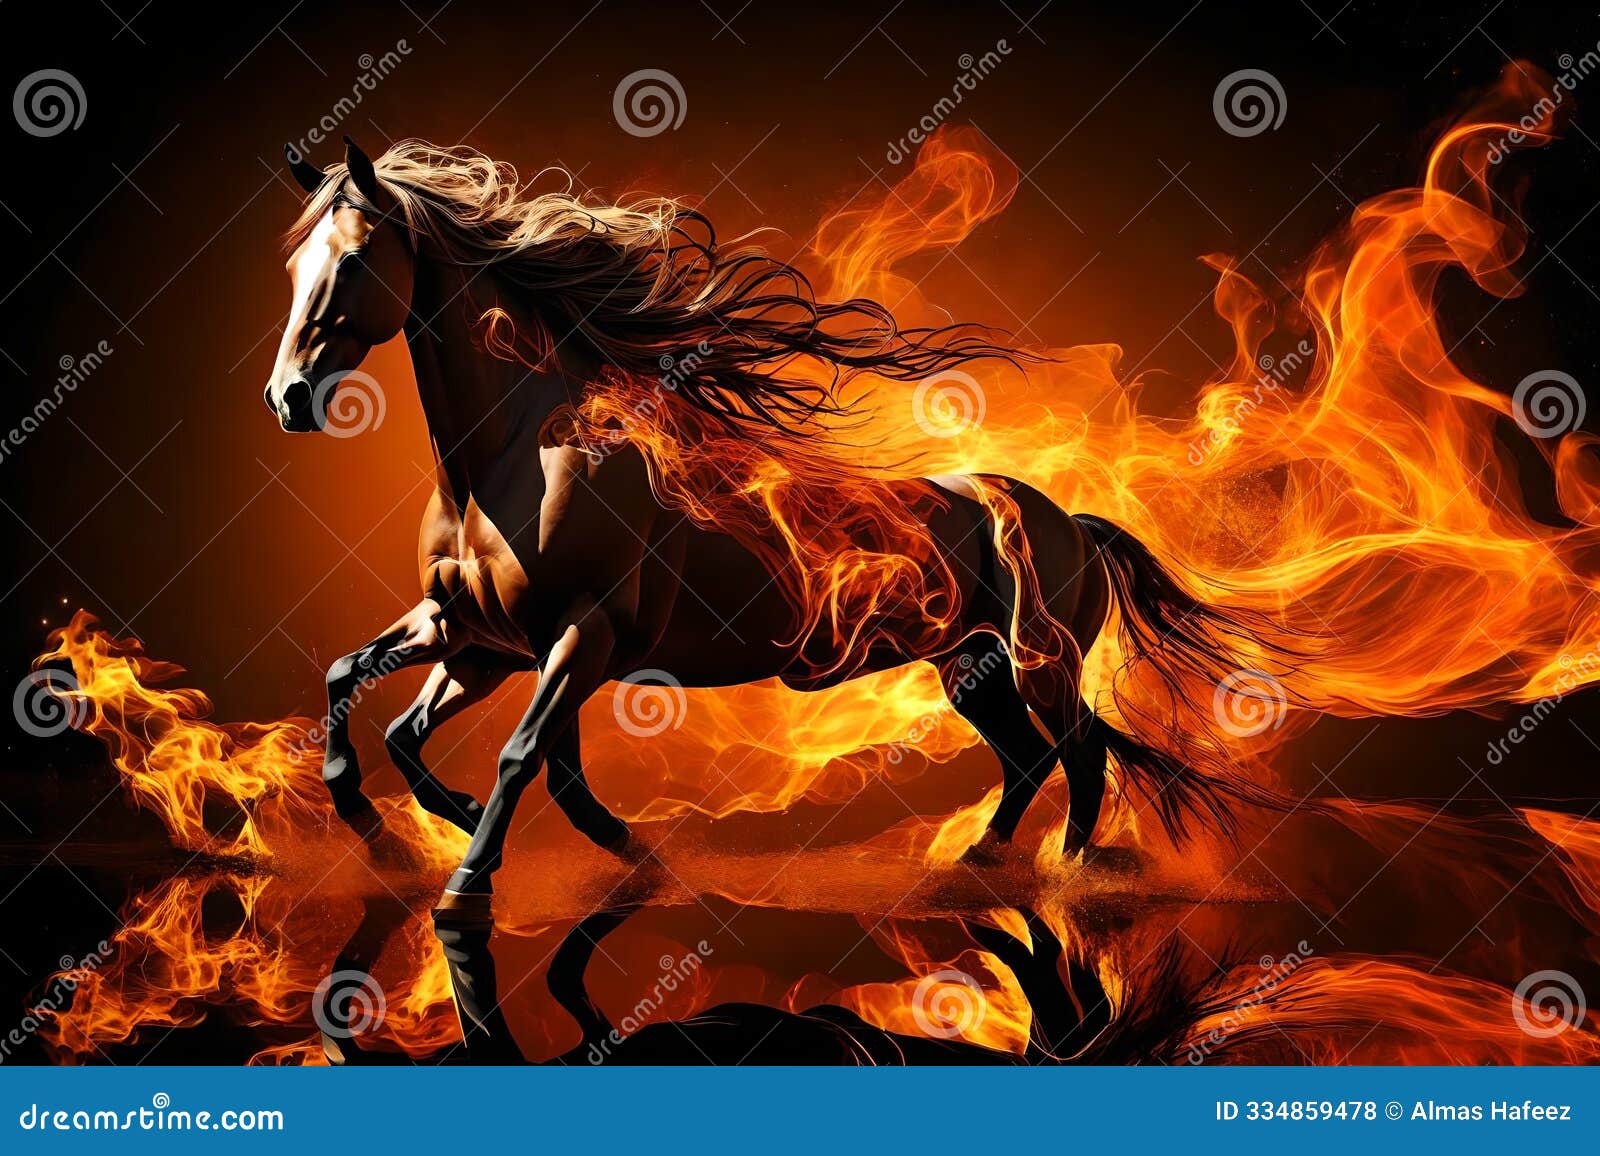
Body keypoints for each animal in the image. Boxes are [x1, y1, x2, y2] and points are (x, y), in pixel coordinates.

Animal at [264, 137, 1275, 924]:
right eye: (292, 267)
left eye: (351, 262)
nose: (289, 398)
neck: (513, 463)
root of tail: (1069, 519)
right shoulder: (475, 638)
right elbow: (369, 700)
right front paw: (399, 838)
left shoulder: (578, 639)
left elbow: (524, 759)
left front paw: (471, 878)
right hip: (971, 667)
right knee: (1026, 762)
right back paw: (971, 868)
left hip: (1040, 660)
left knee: (1083, 755)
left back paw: (1067, 879)